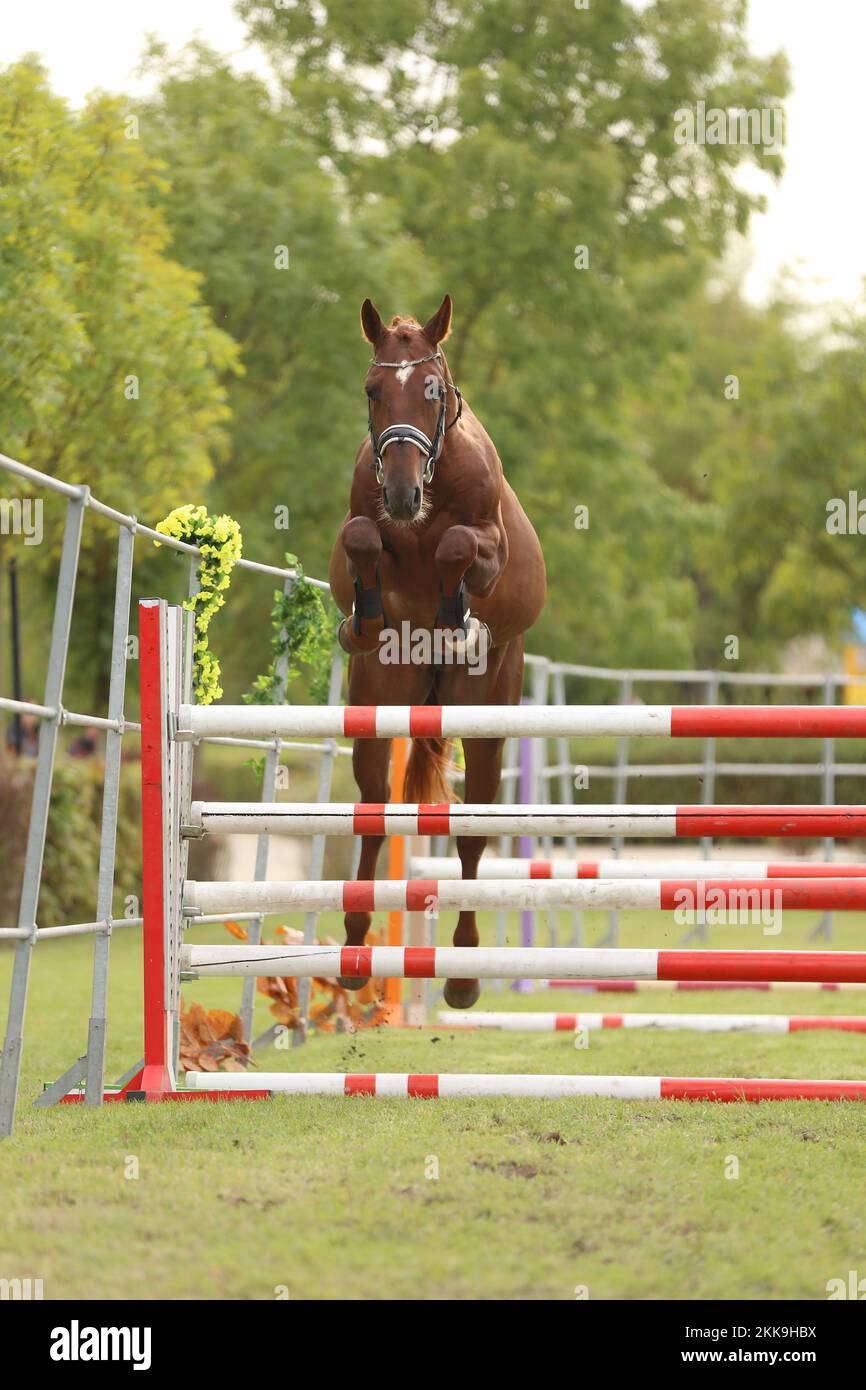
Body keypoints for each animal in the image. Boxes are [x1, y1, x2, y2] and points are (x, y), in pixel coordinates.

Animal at [328, 295, 546, 1008]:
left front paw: (455, 614)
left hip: (485, 715)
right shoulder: (358, 533)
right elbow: (362, 539)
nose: (401, 495)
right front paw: (365, 615)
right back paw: (354, 946)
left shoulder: (487, 545)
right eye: (373, 391)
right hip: (377, 701)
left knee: (472, 830)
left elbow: (457, 546)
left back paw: (464, 973)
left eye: (434, 391)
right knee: (371, 808)